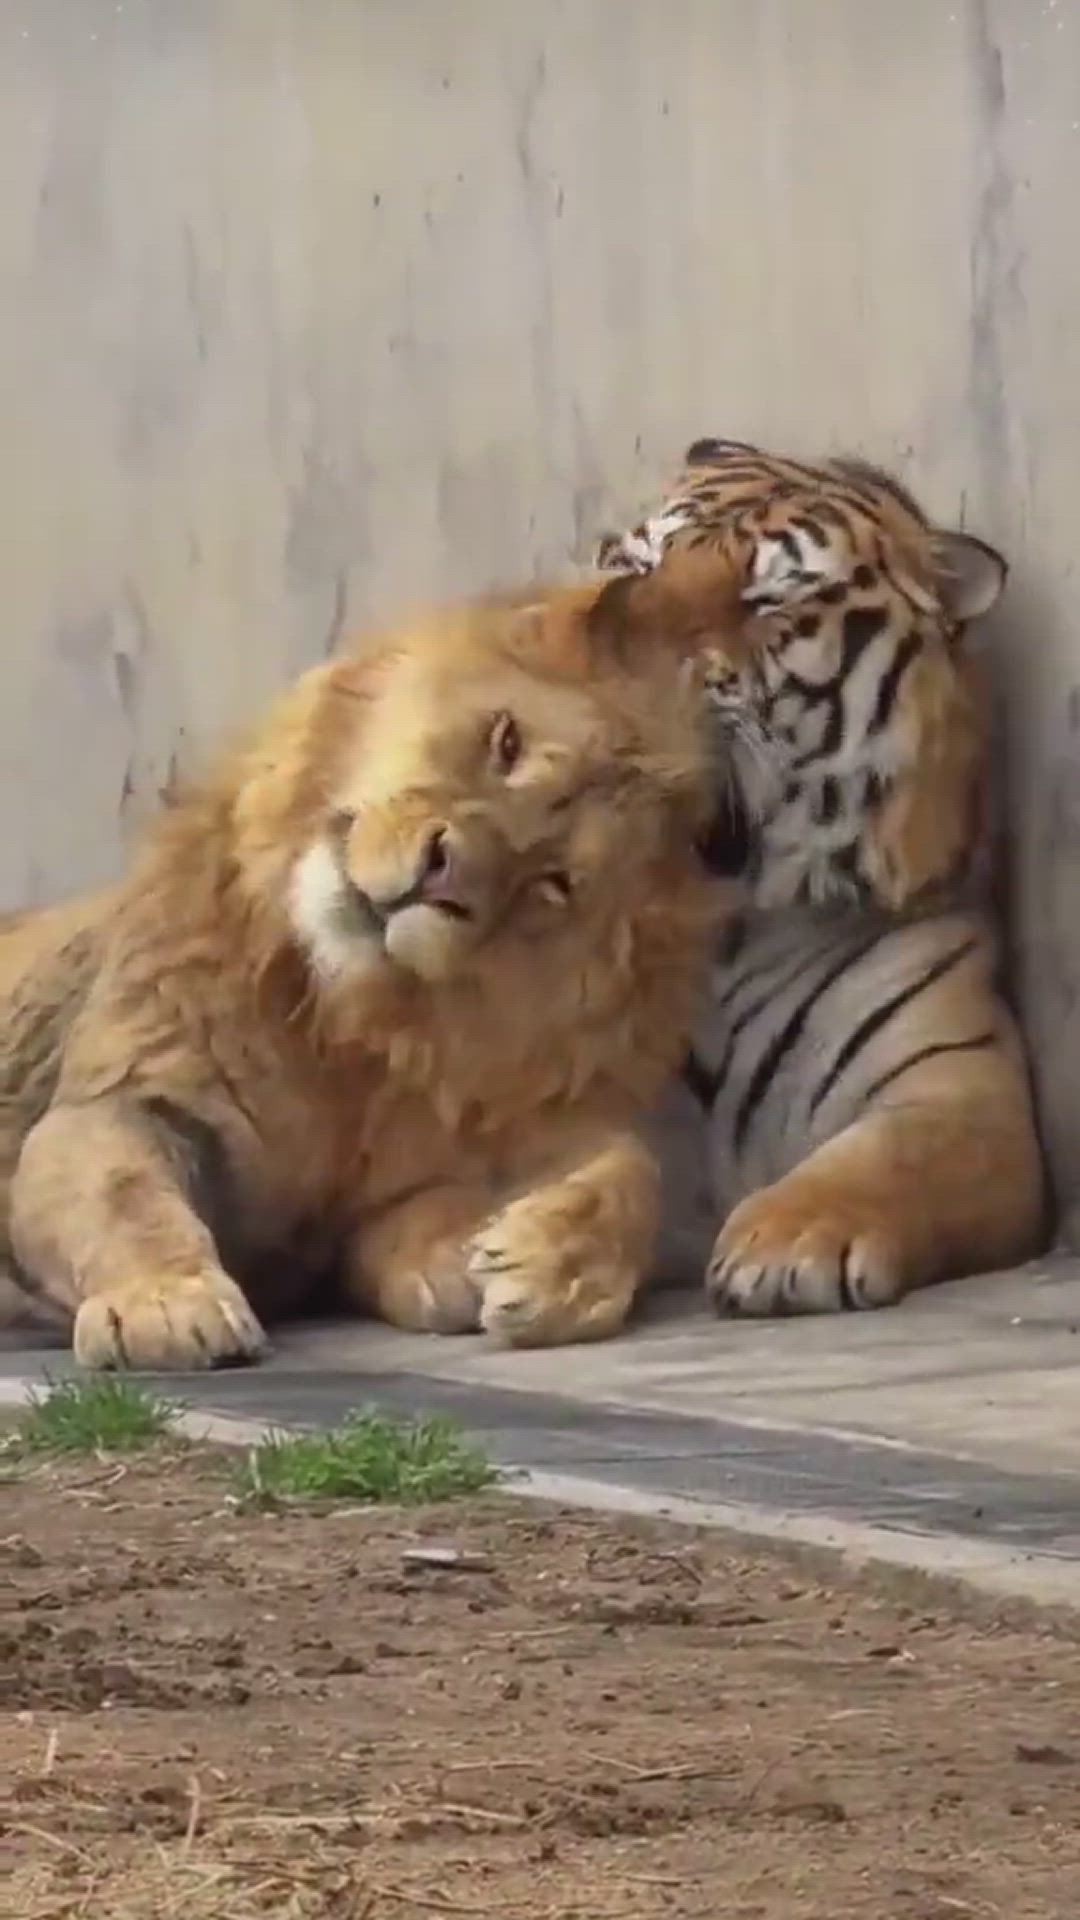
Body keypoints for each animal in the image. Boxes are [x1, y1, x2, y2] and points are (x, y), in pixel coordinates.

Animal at [0, 556, 750, 1370]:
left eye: (550, 883)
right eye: (507, 743)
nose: (436, 875)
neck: (334, 1022)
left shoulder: (389, 1196)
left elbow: (628, 1166)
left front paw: (543, 1266)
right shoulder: (126, 1100)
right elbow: (122, 1193)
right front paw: (168, 1308)